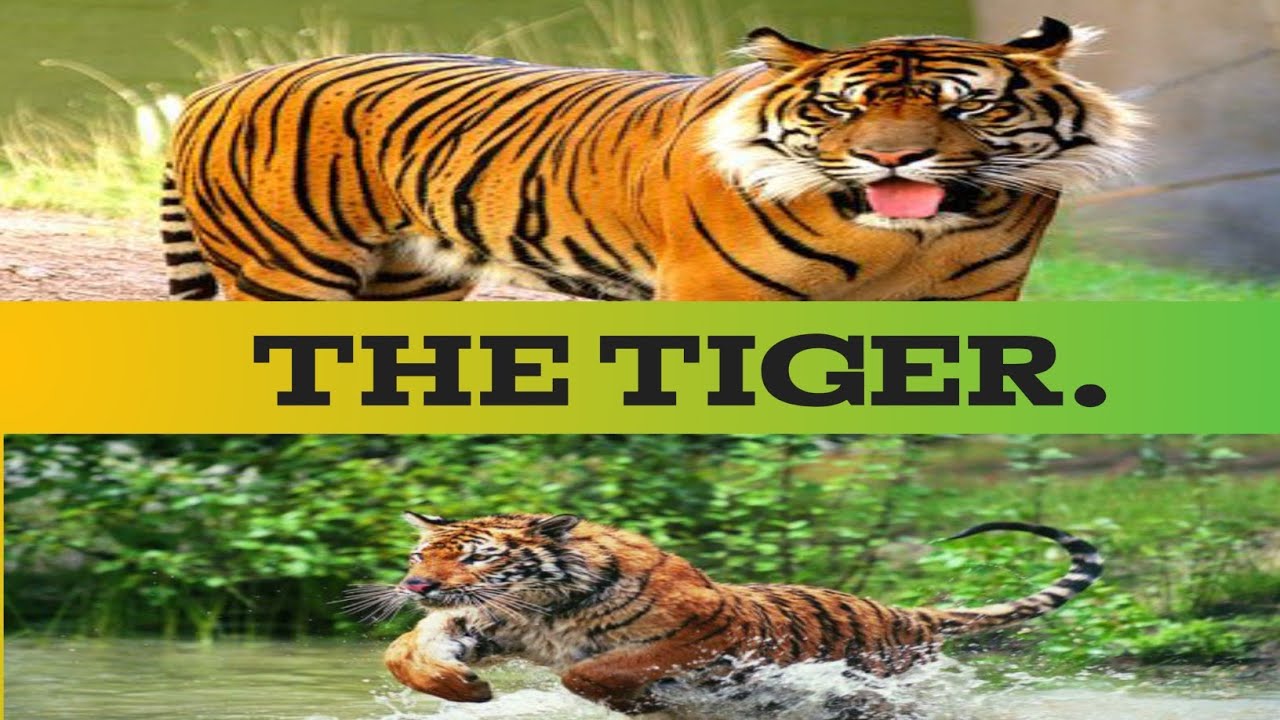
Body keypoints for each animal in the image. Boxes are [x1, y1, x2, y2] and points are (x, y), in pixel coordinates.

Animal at [162, 17, 1139, 301]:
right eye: (841, 109)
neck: (897, 242)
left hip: (409, 285)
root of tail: (218, 85)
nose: (891, 162)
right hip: (289, 274)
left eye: (965, 104)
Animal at [347, 512, 1103, 716]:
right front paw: (464, 688)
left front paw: (647, 704)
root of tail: (911, 613)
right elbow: (403, 652)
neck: (544, 609)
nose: (415, 583)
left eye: (475, 558)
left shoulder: (710, 635)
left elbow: (589, 674)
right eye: (422, 552)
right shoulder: (484, 624)